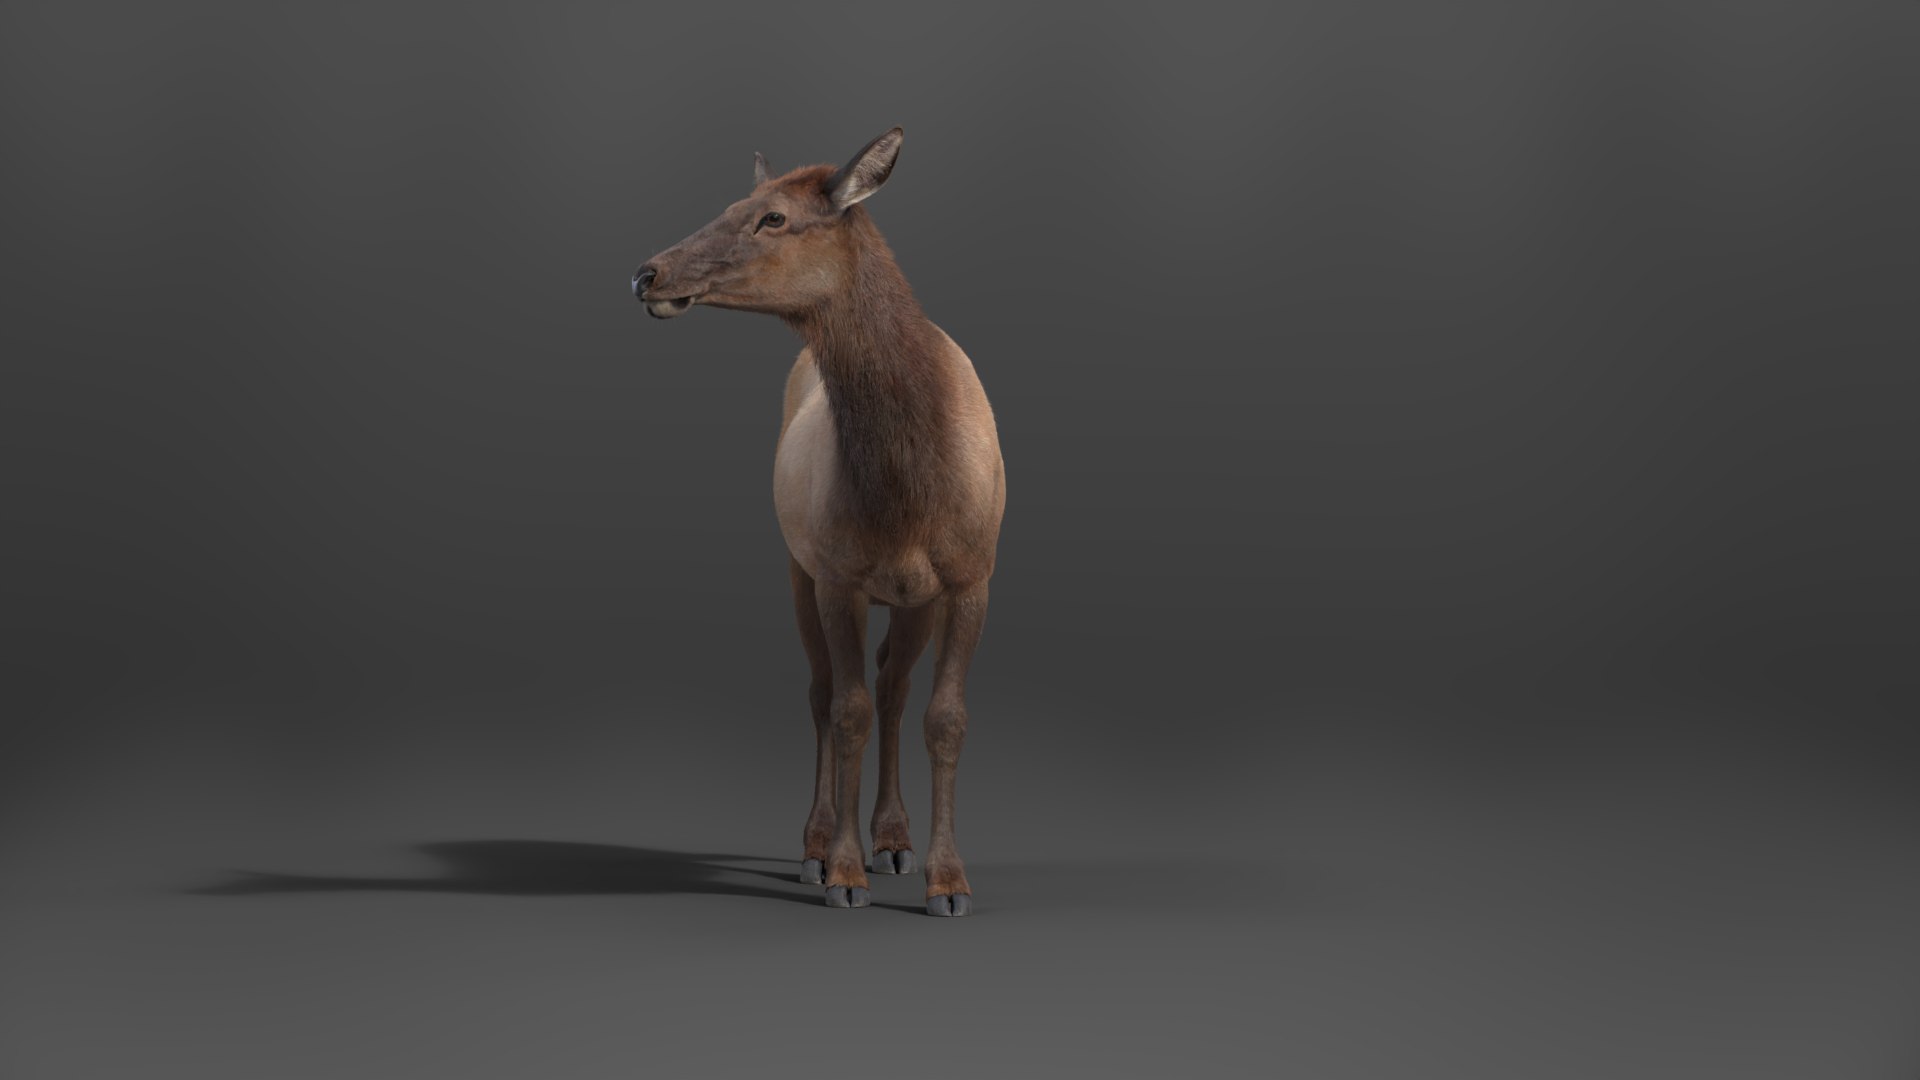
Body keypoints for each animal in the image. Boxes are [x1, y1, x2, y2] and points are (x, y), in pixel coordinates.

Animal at [632, 128, 1005, 916]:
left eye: (772, 217)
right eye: (731, 204)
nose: (647, 274)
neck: (910, 495)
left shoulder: (971, 574)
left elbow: (944, 718)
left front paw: (947, 882)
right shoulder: (837, 572)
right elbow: (846, 709)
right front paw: (843, 873)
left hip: (912, 598)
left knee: (894, 688)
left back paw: (894, 839)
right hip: (797, 566)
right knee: (822, 691)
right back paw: (816, 846)